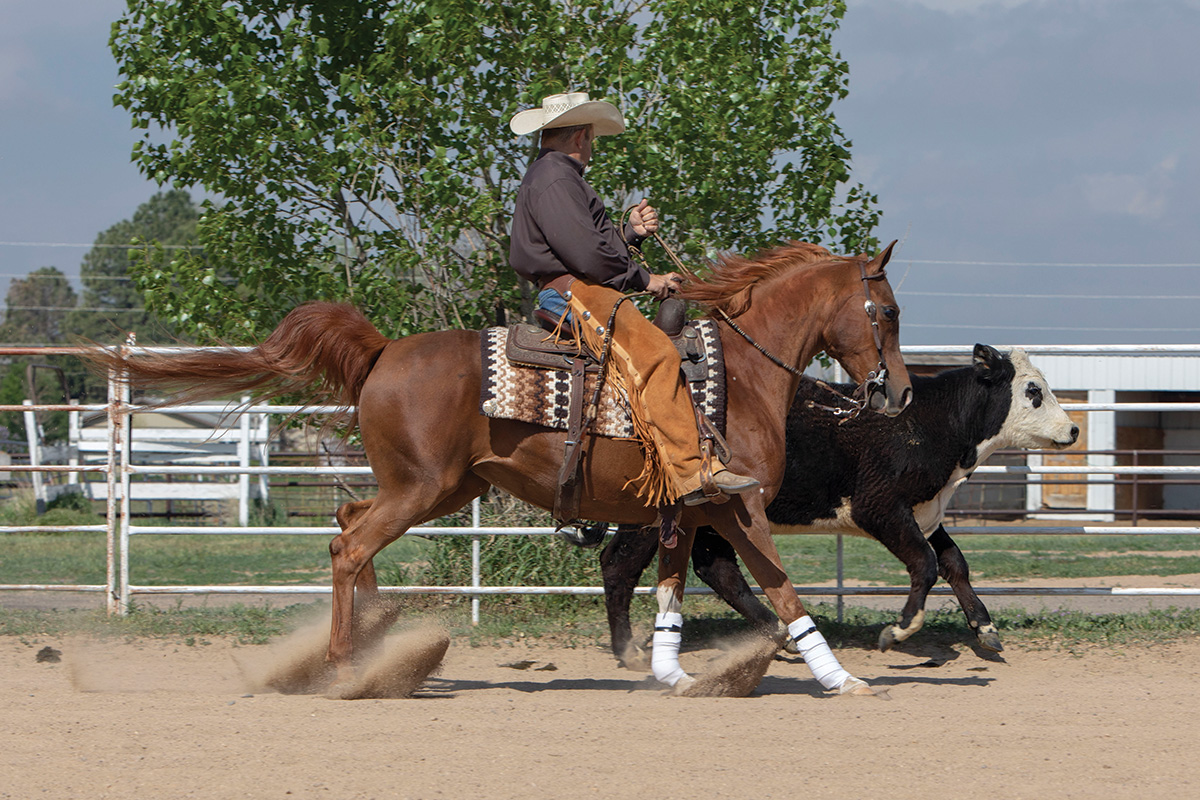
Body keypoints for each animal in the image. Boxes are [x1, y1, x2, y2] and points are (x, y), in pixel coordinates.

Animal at [600, 344, 1080, 667]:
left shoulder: (923, 510)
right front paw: (898, 630)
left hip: (715, 516)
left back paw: (781, 635)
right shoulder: (879, 507)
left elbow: (954, 563)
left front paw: (985, 628)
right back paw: (627, 651)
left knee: (718, 569)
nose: (1073, 429)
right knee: (618, 563)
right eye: (1033, 390)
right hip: (653, 516)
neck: (928, 420)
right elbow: (925, 564)